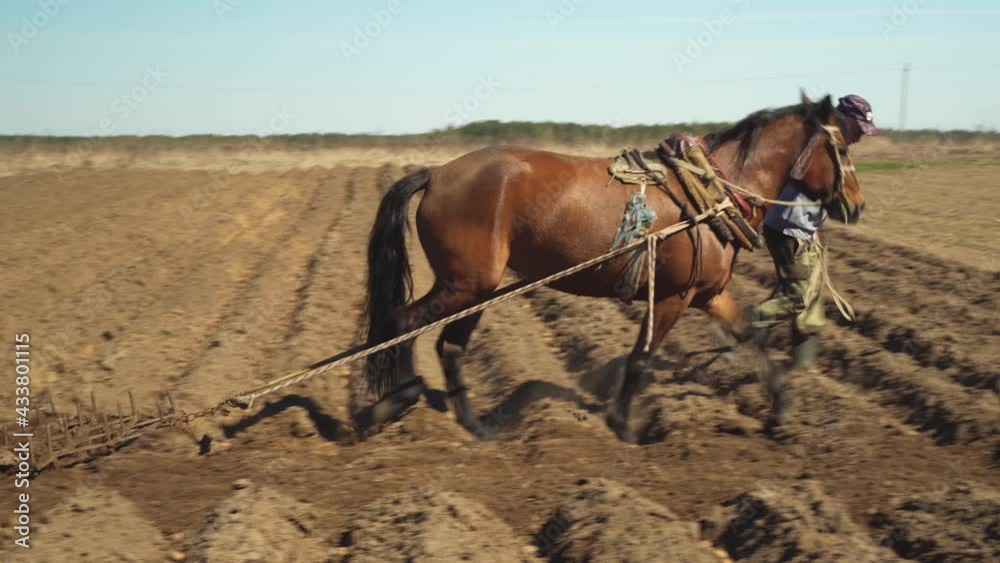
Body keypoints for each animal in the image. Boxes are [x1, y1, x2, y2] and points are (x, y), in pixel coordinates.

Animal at [361, 93, 864, 441]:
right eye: (841, 148)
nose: (856, 205)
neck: (713, 193)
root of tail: (436, 174)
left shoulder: (709, 294)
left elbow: (751, 337)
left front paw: (782, 411)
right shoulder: (673, 296)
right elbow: (641, 357)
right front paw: (622, 423)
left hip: (478, 288)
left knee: (450, 346)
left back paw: (477, 425)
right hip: (466, 283)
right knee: (403, 322)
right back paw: (397, 399)